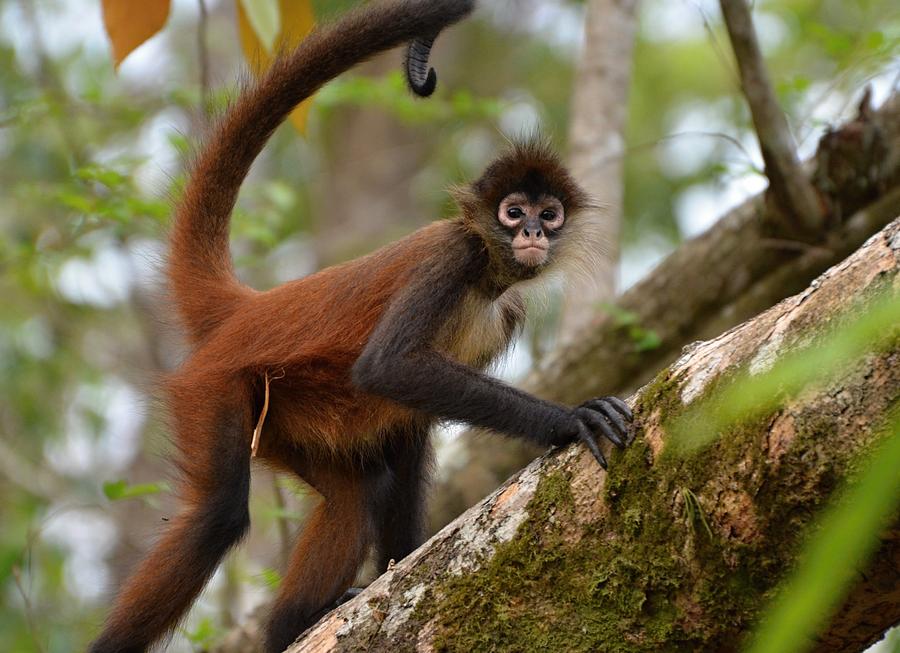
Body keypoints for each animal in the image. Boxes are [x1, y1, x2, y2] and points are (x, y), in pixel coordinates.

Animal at [88, 1, 632, 652]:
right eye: (513, 211)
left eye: (549, 214)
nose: (531, 233)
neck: (487, 277)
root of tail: (247, 309)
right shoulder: (449, 257)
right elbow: (387, 368)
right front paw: (571, 419)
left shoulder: (505, 315)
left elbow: (405, 422)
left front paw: (400, 567)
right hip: (214, 387)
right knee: (220, 513)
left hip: (283, 417)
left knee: (356, 492)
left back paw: (292, 622)